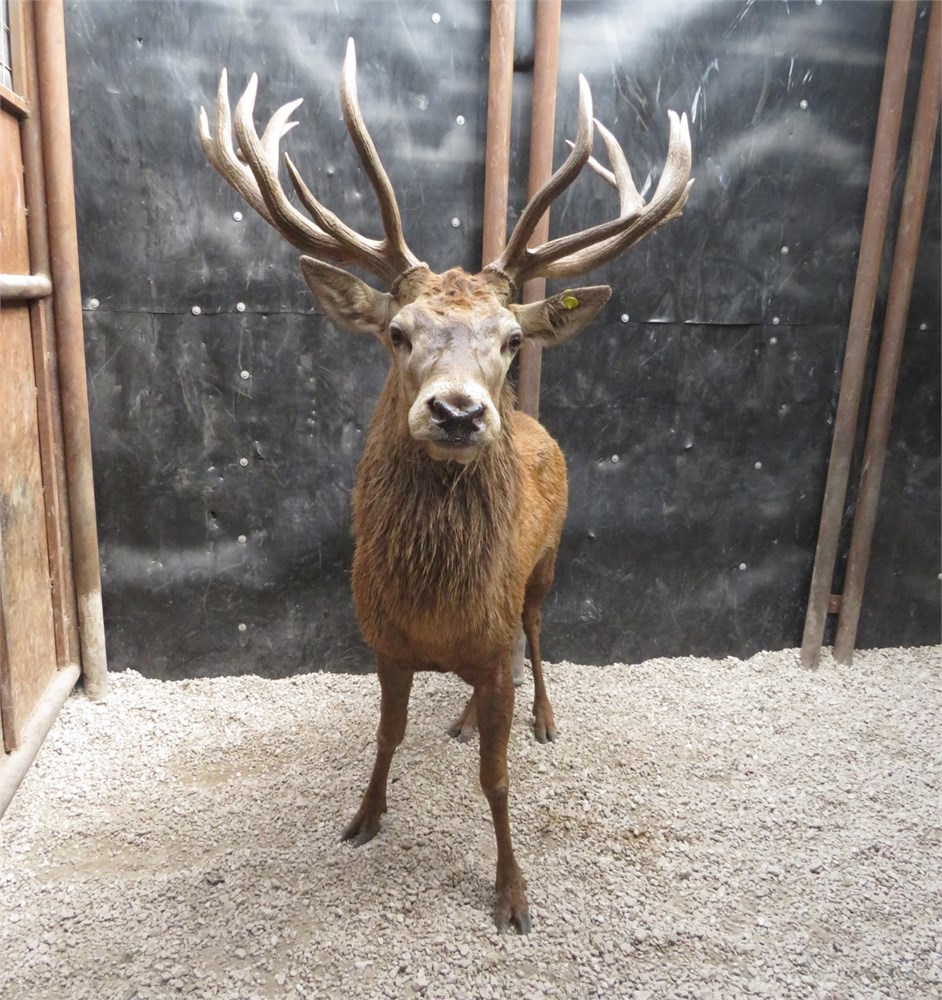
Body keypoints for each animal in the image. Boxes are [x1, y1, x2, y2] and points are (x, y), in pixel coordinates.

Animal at [199, 39, 692, 934]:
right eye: (398, 333)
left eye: (509, 340)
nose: (459, 411)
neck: (435, 613)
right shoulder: (383, 645)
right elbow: (387, 738)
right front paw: (364, 817)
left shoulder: (493, 641)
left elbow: (497, 781)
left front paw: (512, 892)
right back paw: (461, 719)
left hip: (546, 564)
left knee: (536, 631)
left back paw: (543, 718)